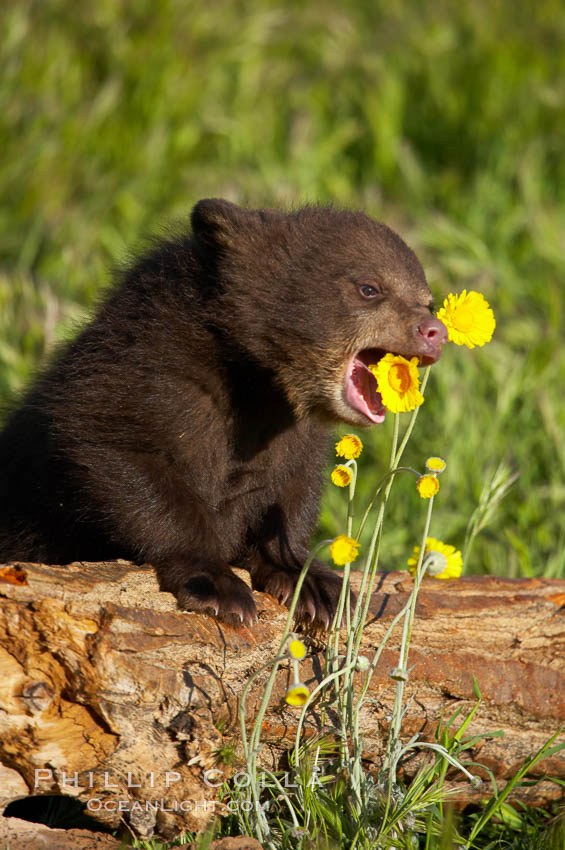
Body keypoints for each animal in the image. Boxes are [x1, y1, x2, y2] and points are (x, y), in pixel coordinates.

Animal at [0, 200, 447, 627]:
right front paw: (218, 587)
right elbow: (116, 457)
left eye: (426, 300)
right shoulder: (142, 381)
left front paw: (316, 586)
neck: (259, 381)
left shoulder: (293, 434)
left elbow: (291, 491)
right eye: (369, 287)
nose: (434, 331)